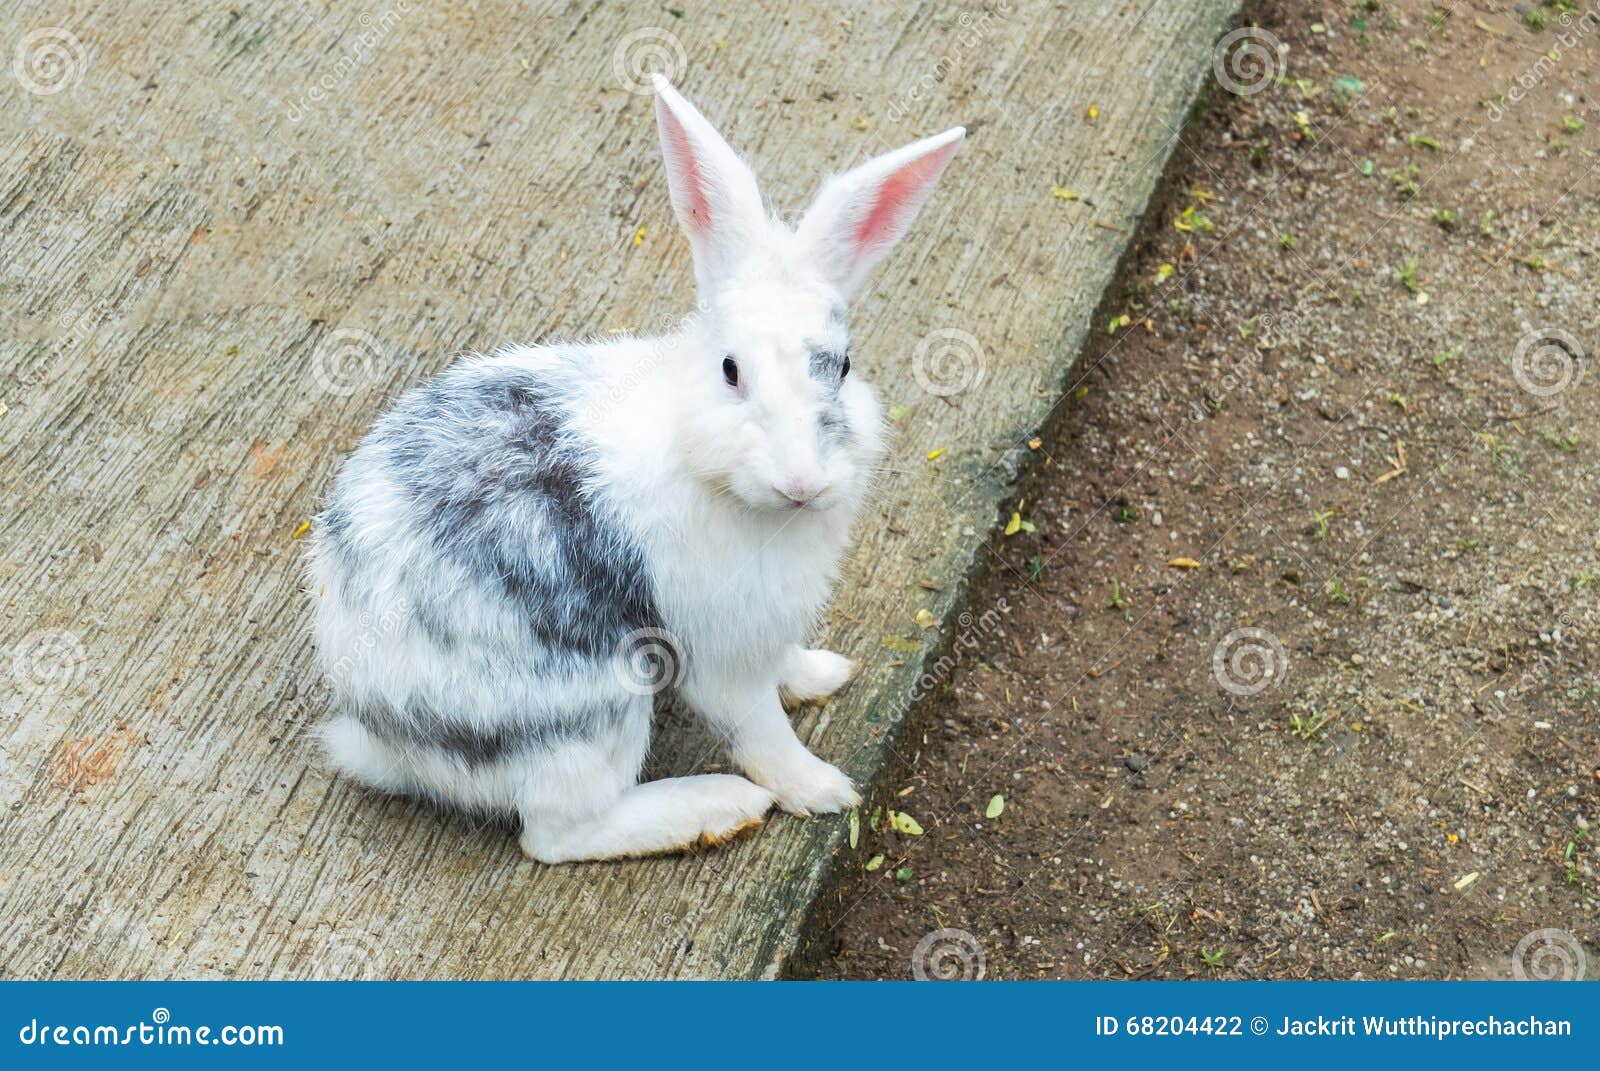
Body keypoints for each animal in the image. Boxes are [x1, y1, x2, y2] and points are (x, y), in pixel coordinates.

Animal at [306, 76, 963, 863]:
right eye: (731, 370)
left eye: (842, 366)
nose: (801, 482)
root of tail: (381, 734)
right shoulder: (721, 652)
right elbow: (761, 730)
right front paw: (823, 790)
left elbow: (784, 673)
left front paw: (820, 674)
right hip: (591, 712)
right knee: (557, 834)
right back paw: (720, 807)